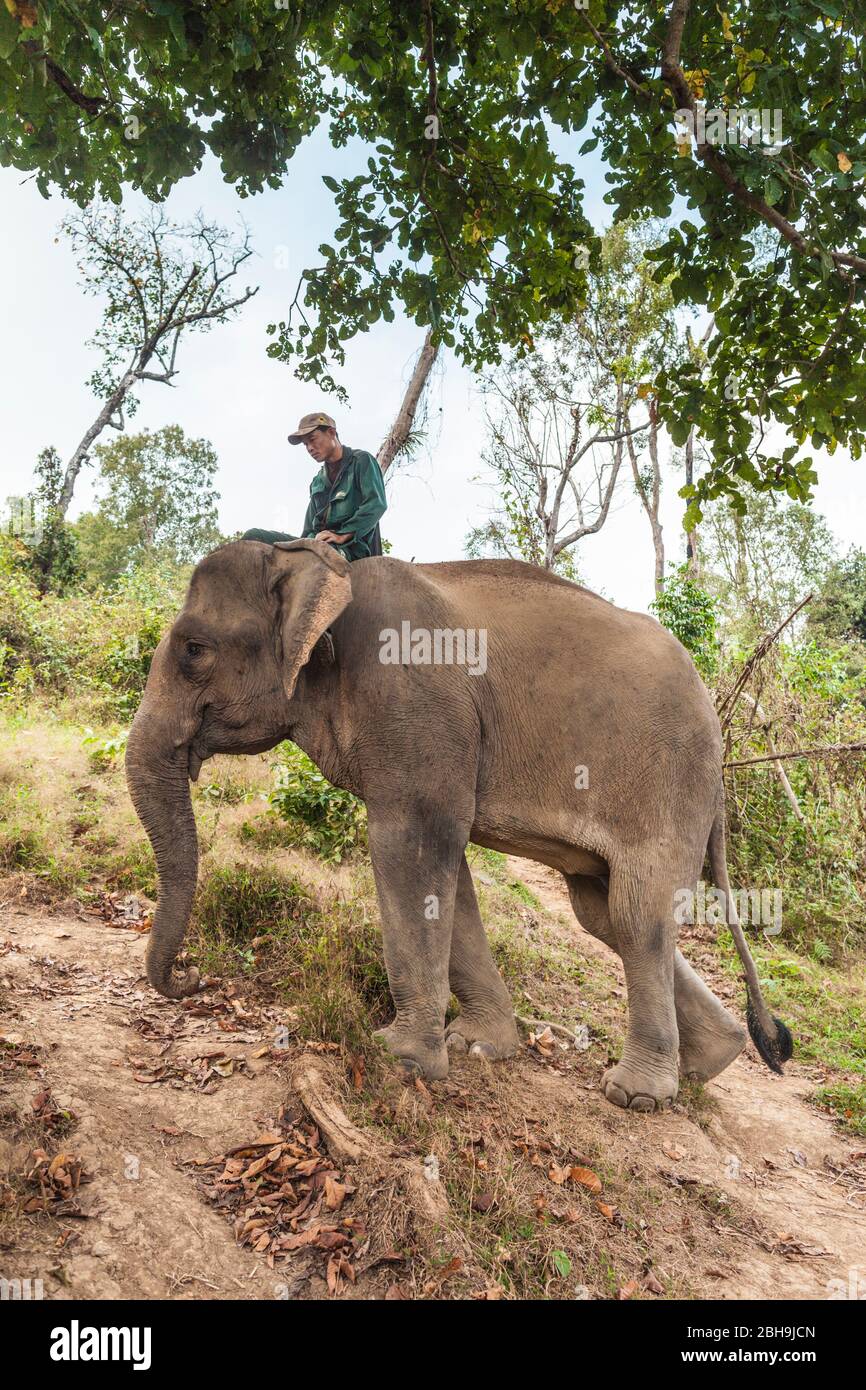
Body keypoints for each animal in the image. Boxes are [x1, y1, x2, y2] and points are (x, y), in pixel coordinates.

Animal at [125, 538, 792, 1112]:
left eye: (193, 649)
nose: (192, 978)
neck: (321, 565)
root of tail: (719, 737)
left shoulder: (412, 700)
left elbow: (409, 847)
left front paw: (399, 1056)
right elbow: (452, 871)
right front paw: (478, 1046)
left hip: (668, 786)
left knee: (636, 915)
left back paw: (637, 1095)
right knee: (602, 912)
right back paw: (709, 1063)